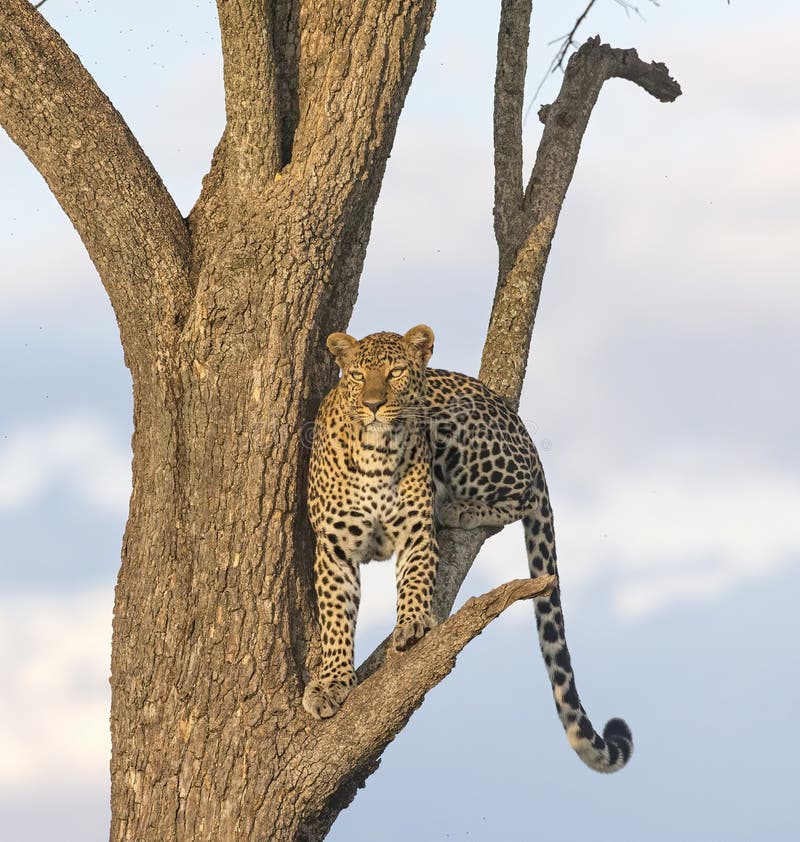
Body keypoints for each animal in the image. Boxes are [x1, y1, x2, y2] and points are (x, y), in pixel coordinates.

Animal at [302, 324, 633, 773]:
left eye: (395, 373)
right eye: (356, 375)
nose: (372, 405)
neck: (376, 453)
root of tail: (521, 426)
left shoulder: (416, 533)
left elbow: (415, 581)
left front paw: (412, 624)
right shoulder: (334, 548)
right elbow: (336, 618)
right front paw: (331, 682)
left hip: (460, 432)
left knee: (526, 493)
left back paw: (460, 508)